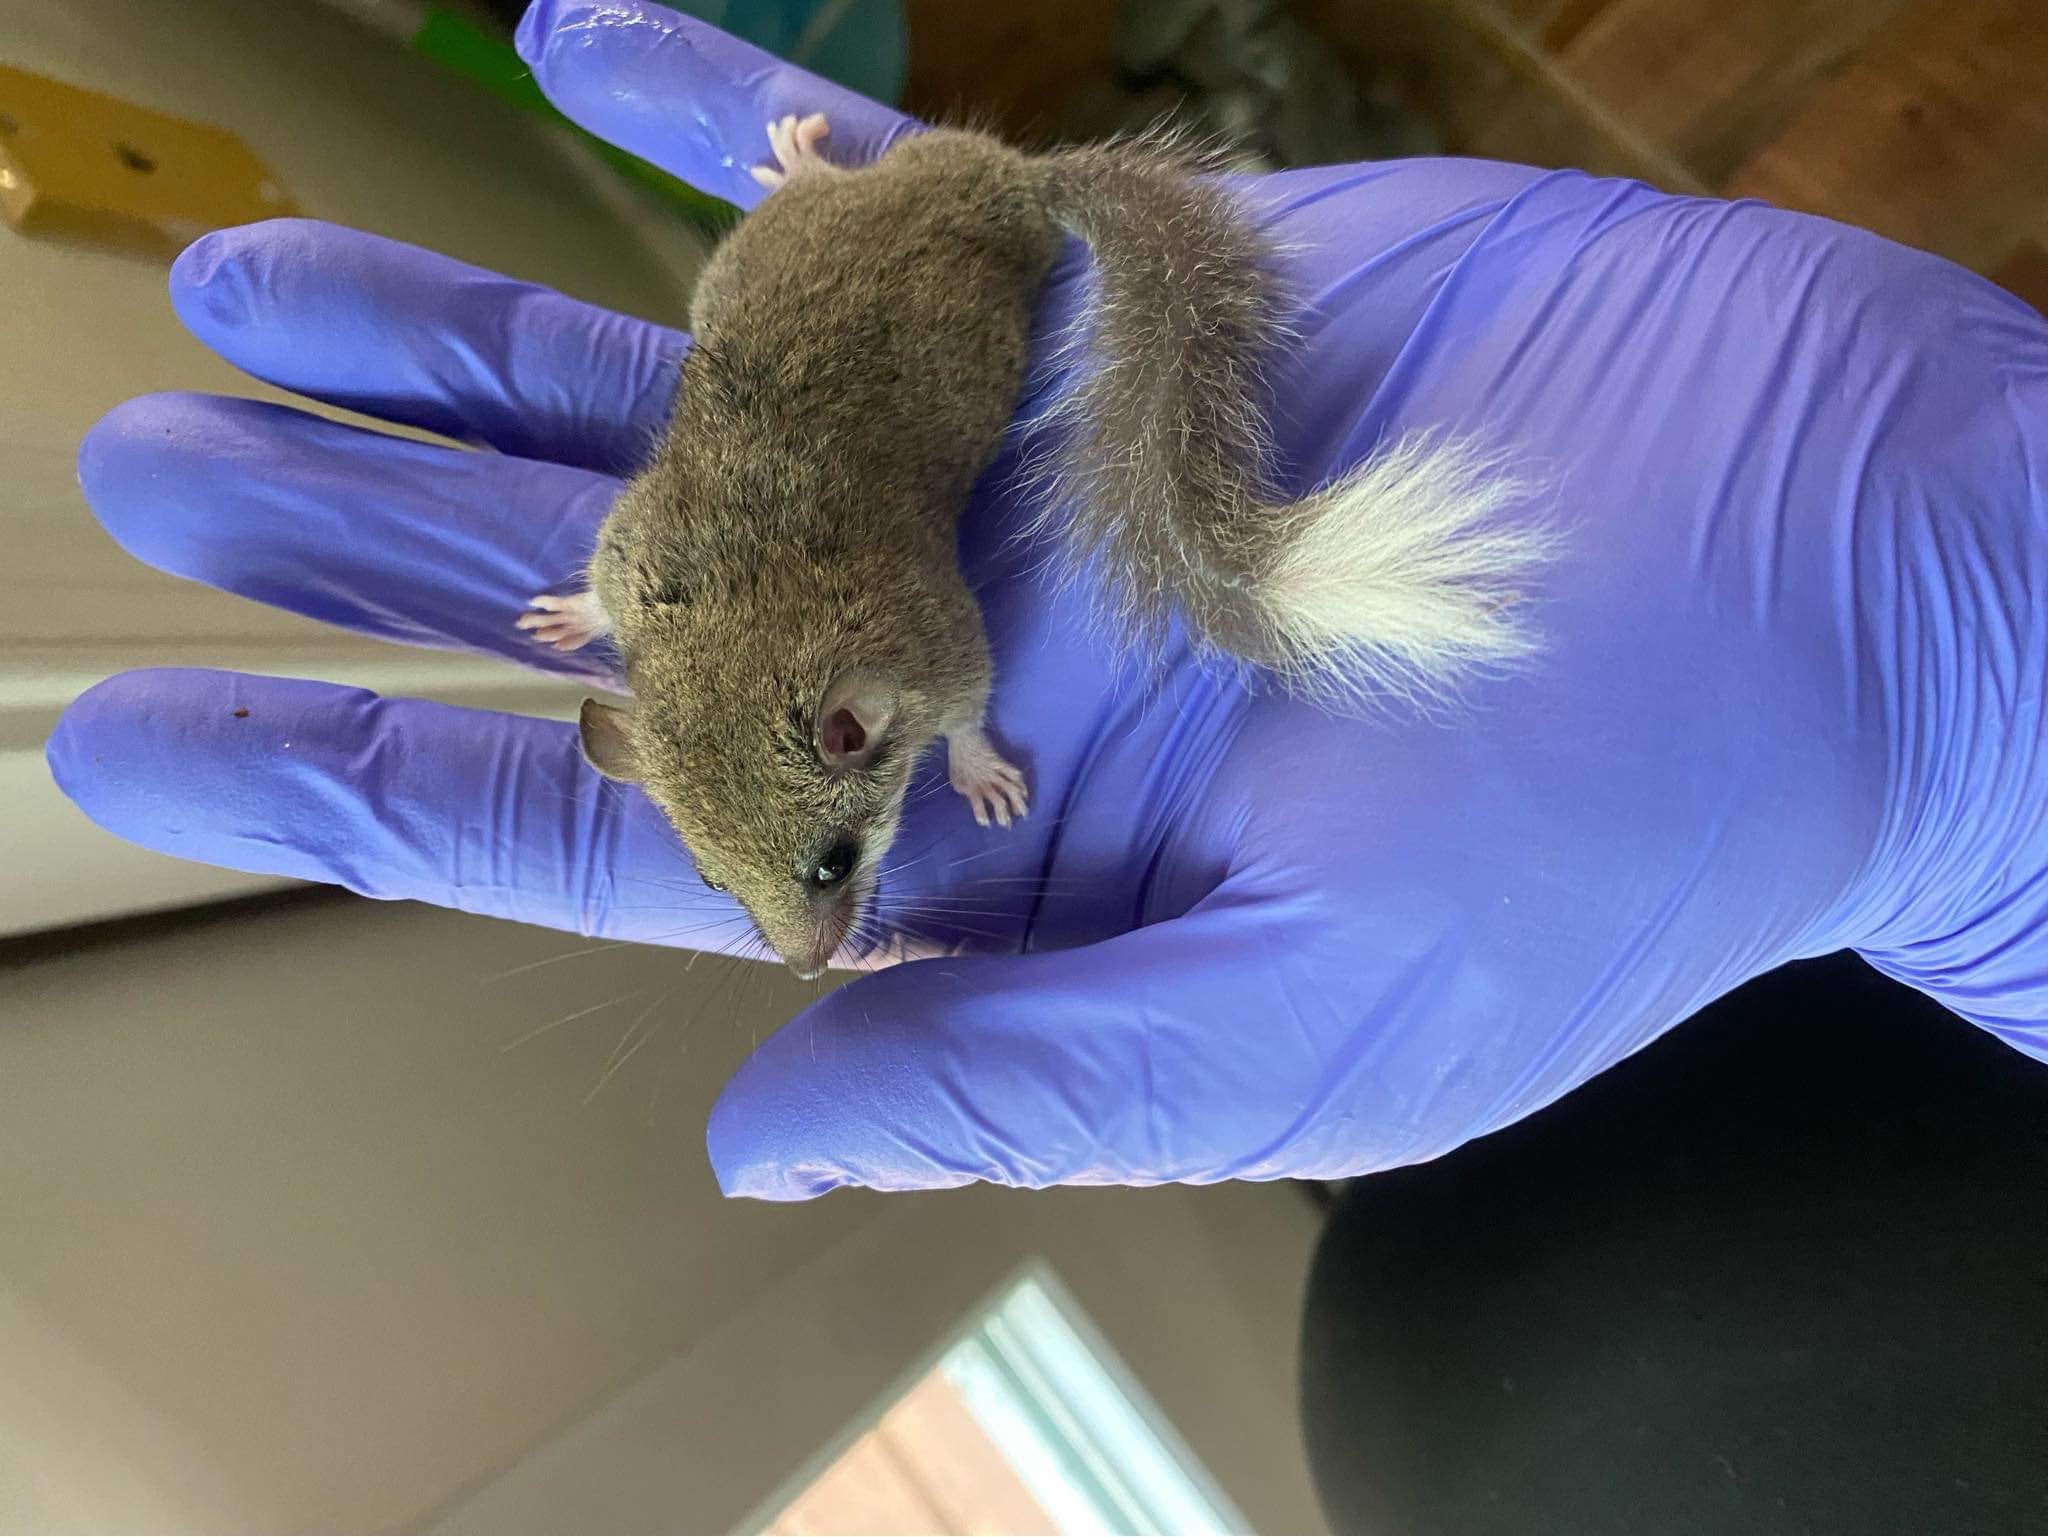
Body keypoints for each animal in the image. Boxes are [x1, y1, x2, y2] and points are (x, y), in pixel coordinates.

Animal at [518, 113, 1543, 977]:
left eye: (833, 862)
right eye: (708, 879)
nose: (809, 969)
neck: (751, 632)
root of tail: (1009, 178)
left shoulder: (944, 638)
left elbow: (971, 713)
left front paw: (988, 784)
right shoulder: (630, 550)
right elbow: (599, 588)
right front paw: (561, 617)